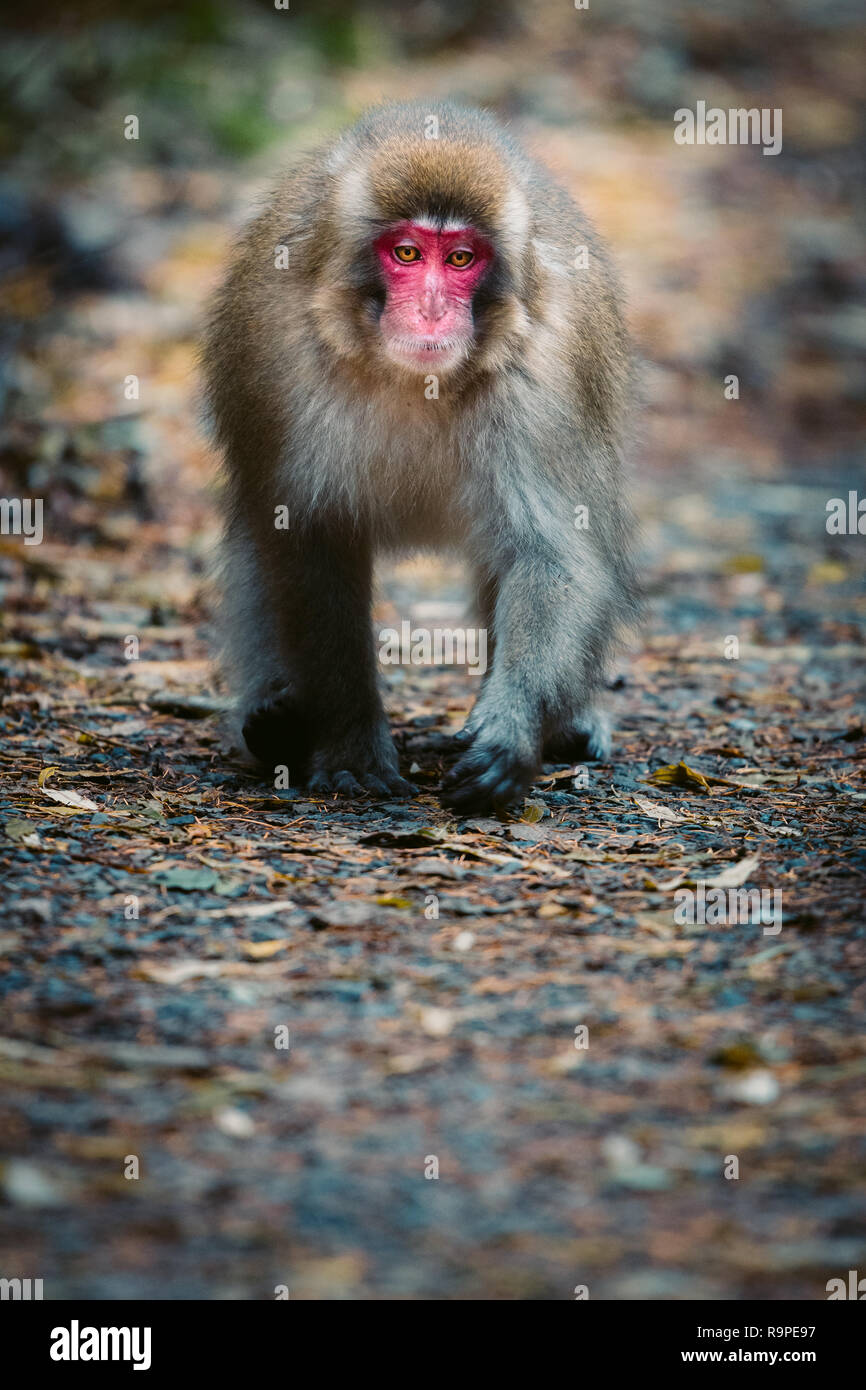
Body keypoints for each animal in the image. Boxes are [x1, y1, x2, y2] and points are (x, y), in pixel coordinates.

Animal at [202, 101, 638, 813]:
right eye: (407, 253)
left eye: (460, 258)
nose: (433, 311)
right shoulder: (280, 354)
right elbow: (309, 540)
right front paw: (351, 746)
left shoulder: (545, 370)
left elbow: (552, 552)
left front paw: (511, 729)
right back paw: (276, 726)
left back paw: (567, 727)